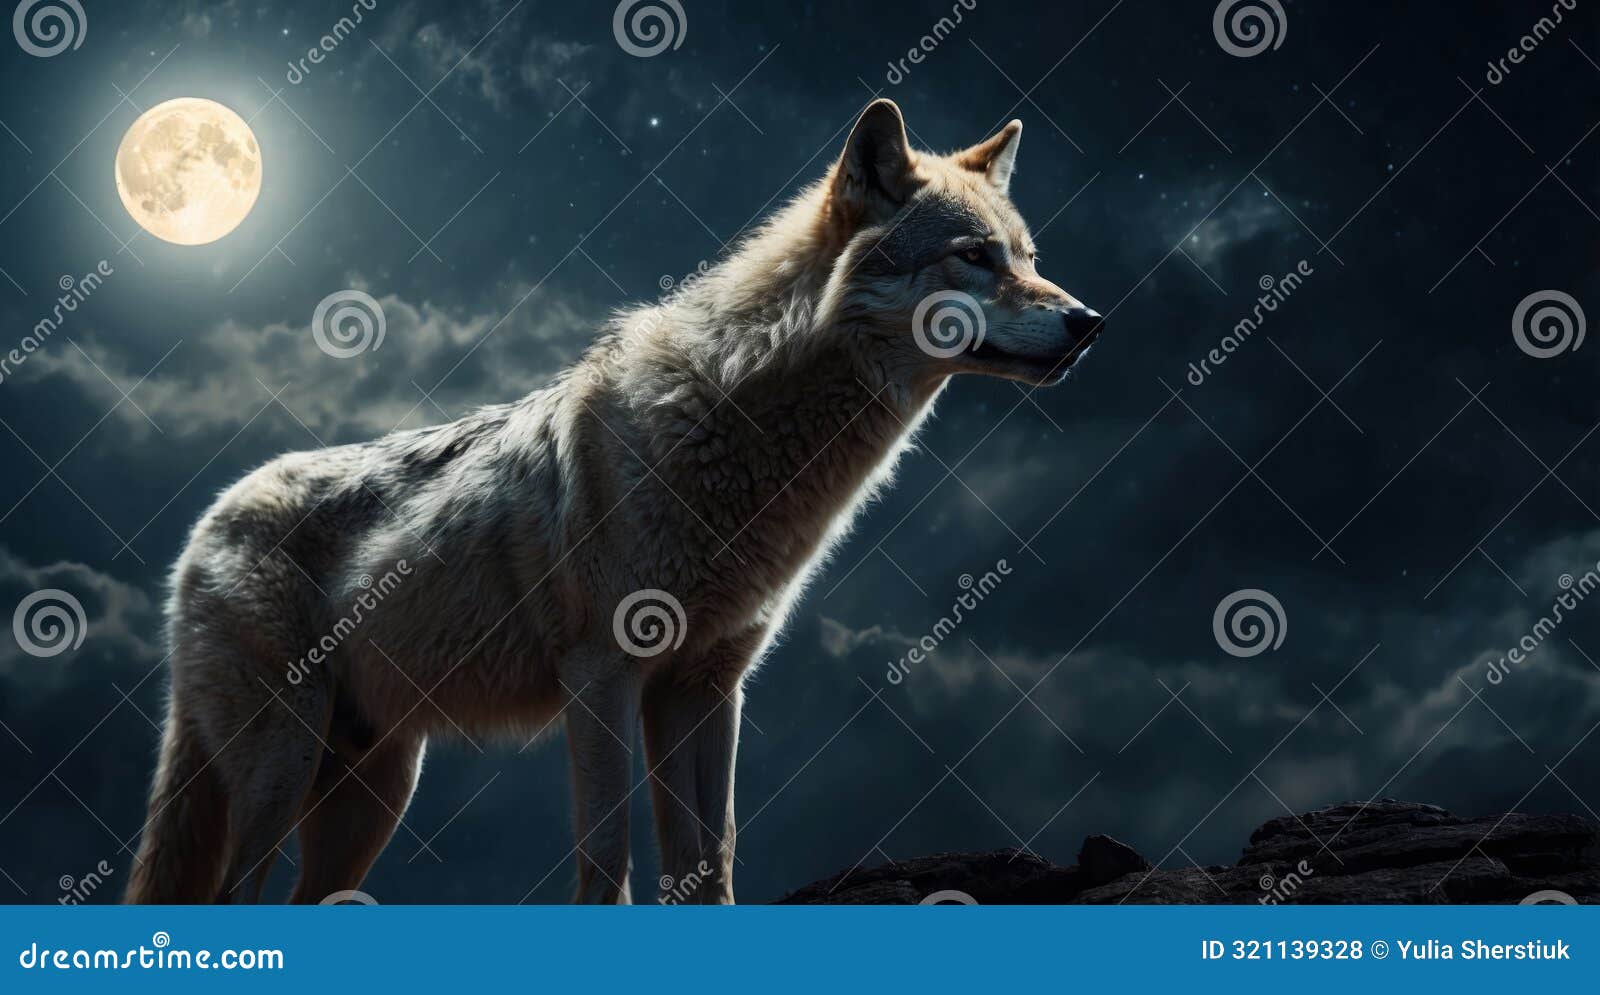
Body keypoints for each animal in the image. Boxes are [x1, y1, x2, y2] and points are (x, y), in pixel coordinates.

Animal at [124, 99, 1103, 904]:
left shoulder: (705, 688)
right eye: (972, 258)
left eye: (1029, 258)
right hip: (285, 764)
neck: (742, 435)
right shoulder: (601, 676)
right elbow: (608, 860)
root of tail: (208, 519)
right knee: (231, 898)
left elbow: (712, 861)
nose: (1088, 321)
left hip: (376, 787)